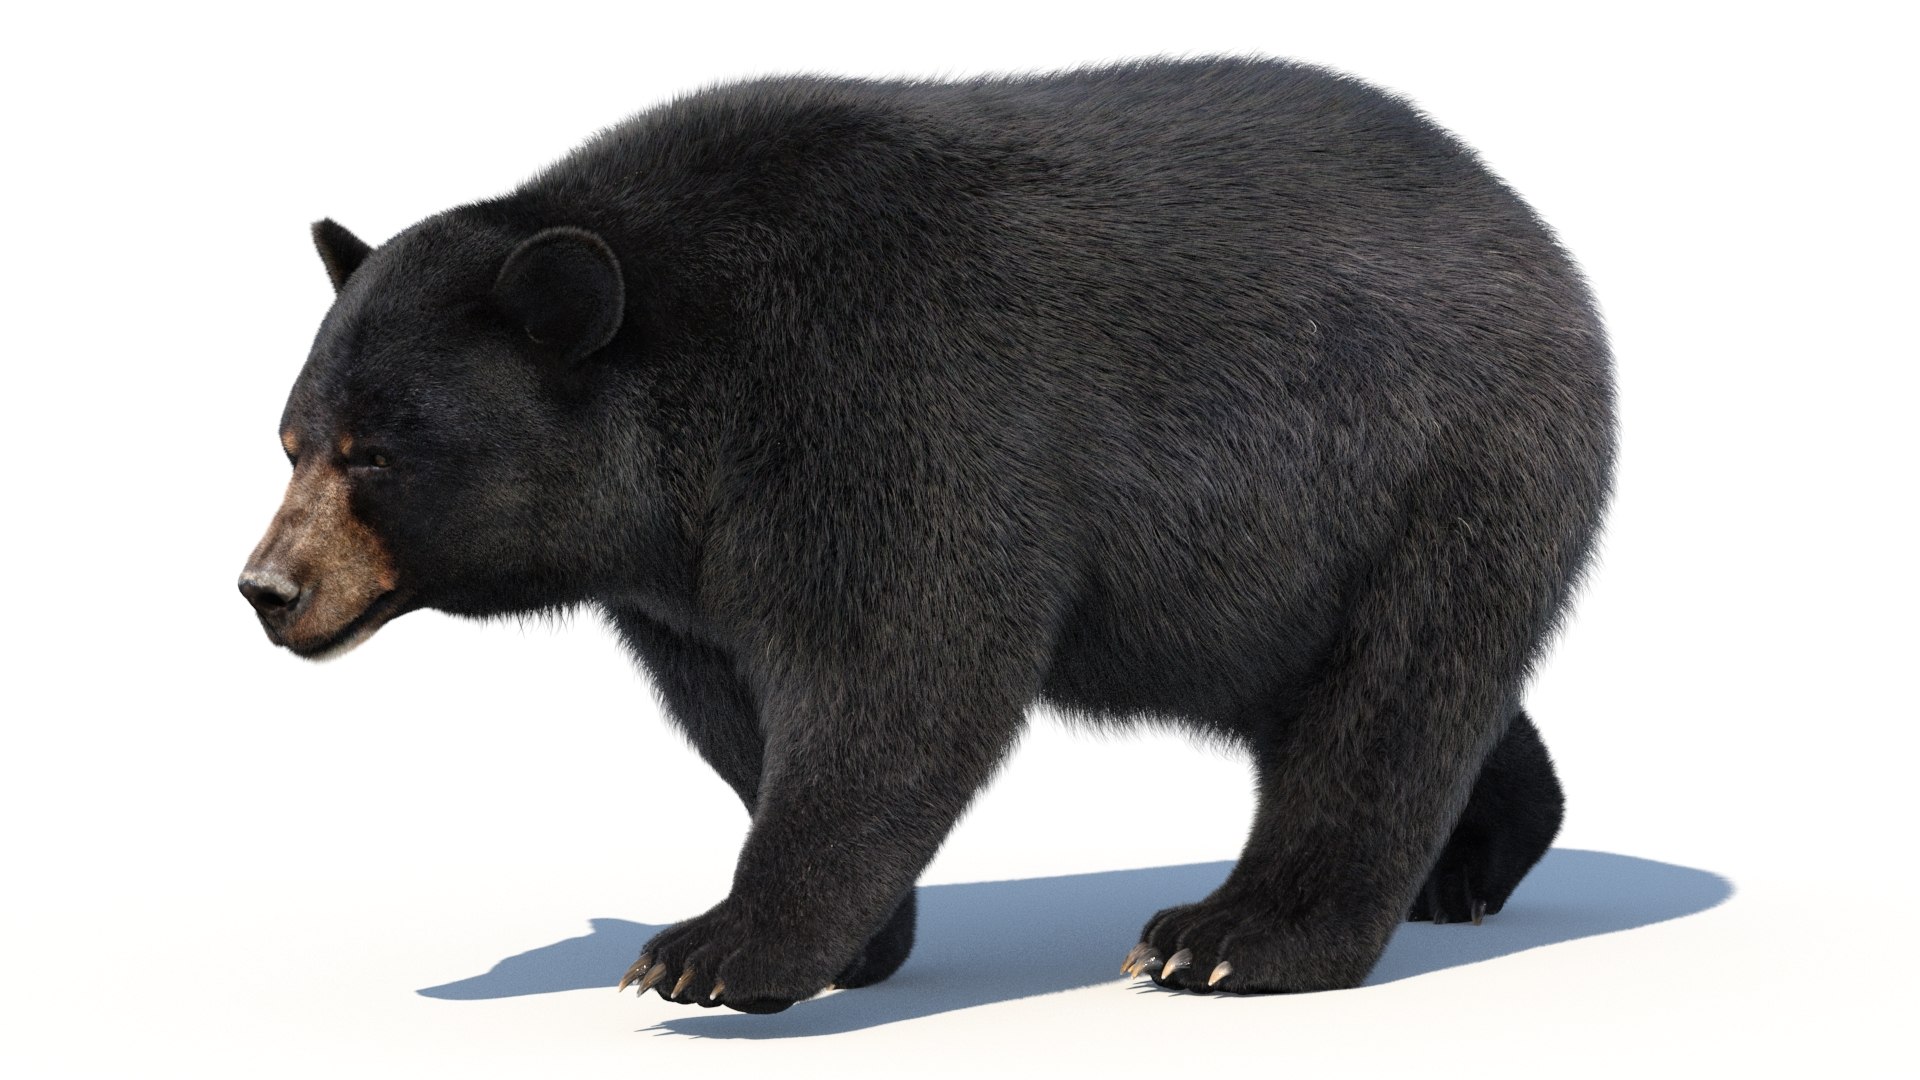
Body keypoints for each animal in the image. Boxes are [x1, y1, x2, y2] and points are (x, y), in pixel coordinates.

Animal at [240, 57, 1610, 1014]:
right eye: (293, 438)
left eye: (375, 452)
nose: (267, 588)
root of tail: (1530, 227)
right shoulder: (682, 578)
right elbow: (740, 710)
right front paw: (853, 940)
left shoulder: (886, 408)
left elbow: (899, 673)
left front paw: (714, 952)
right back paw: (1469, 866)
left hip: (1431, 465)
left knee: (1392, 694)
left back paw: (1235, 938)